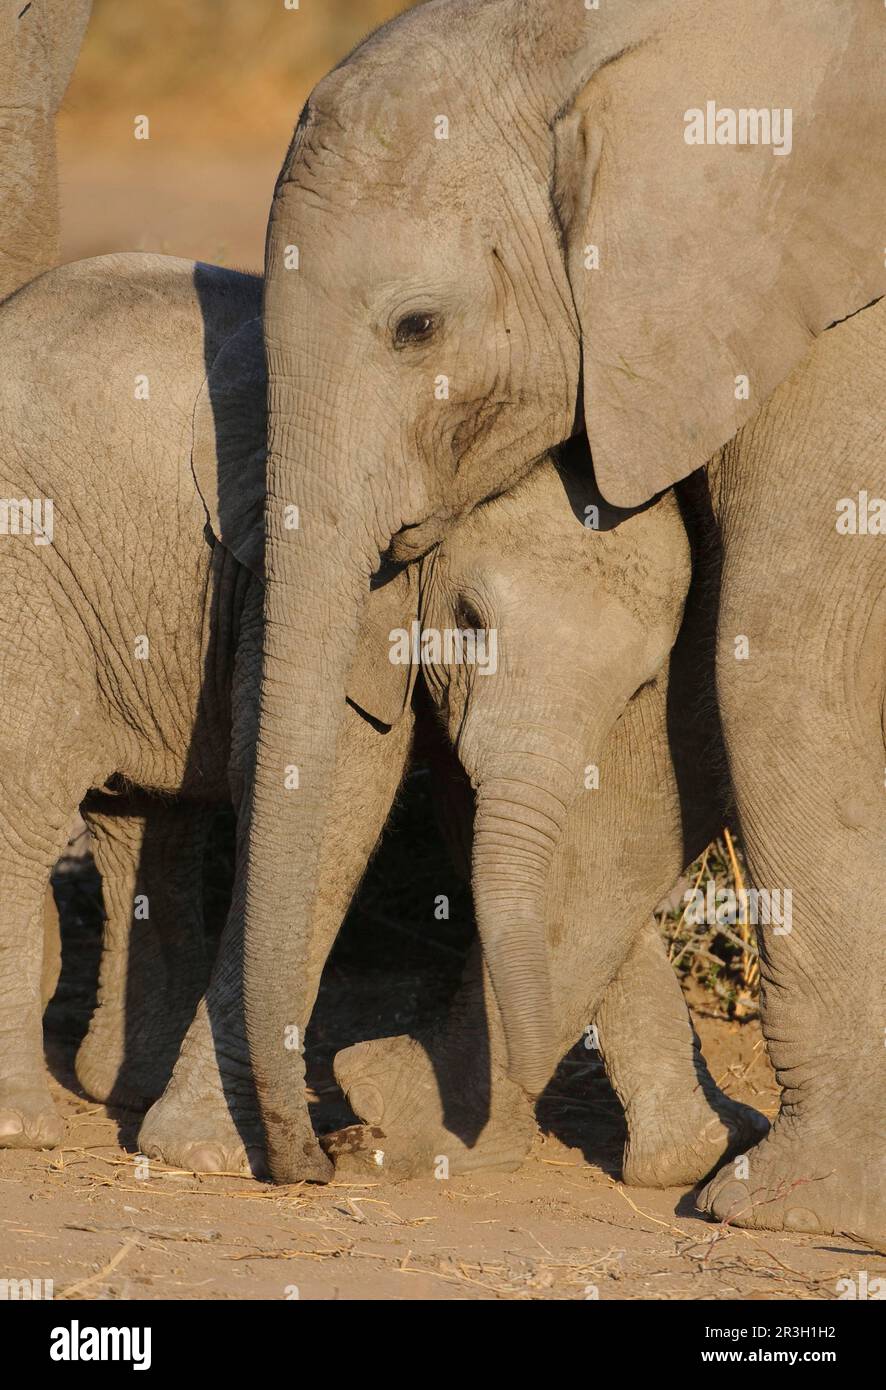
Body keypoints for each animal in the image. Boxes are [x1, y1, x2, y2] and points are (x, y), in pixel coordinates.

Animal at [0, 250, 749, 1190]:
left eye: (642, 686)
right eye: (469, 622)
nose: (322, 1159)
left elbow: (502, 816)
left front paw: (691, 1160)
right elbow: (333, 806)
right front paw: (208, 1153)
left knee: (142, 823)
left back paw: (119, 1088)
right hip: (34, 575)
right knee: (28, 803)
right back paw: (26, 1127)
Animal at [244, 0, 886, 1242]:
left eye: (416, 327)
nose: (308, 1162)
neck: (599, 36)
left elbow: (777, 662)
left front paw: (787, 1204)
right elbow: (679, 715)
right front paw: (418, 1122)